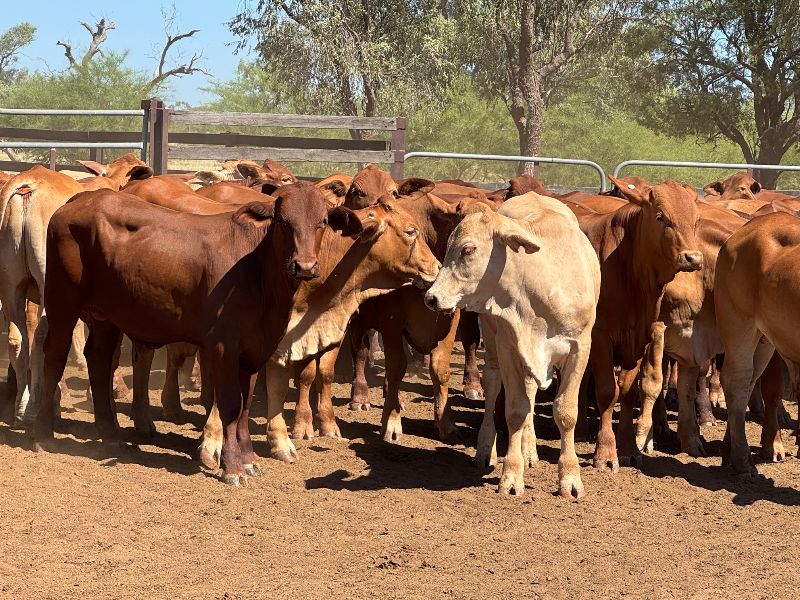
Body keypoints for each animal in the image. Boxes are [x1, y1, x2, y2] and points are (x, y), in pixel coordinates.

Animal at [424, 193, 600, 498]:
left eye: (468, 250)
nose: (431, 297)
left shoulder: (580, 348)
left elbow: (566, 412)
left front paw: (570, 479)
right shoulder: (508, 346)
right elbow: (516, 410)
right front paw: (511, 476)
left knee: (530, 390)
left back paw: (529, 450)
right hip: (494, 342)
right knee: (494, 386)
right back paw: (487, 450)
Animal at [578, 181, 702, 471]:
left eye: (696, 220)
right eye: (660, 217)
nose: (693, 258)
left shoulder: (640, 338)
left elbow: (627, 392)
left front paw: (628, 448)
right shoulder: (601, 336)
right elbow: (607, 391)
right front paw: (606, 452)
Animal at [714, 213, 800, 475]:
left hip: (765, 340)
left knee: (749, 383)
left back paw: (729, 450)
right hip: (739, 323)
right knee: (737, 380)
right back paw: (742, 460)